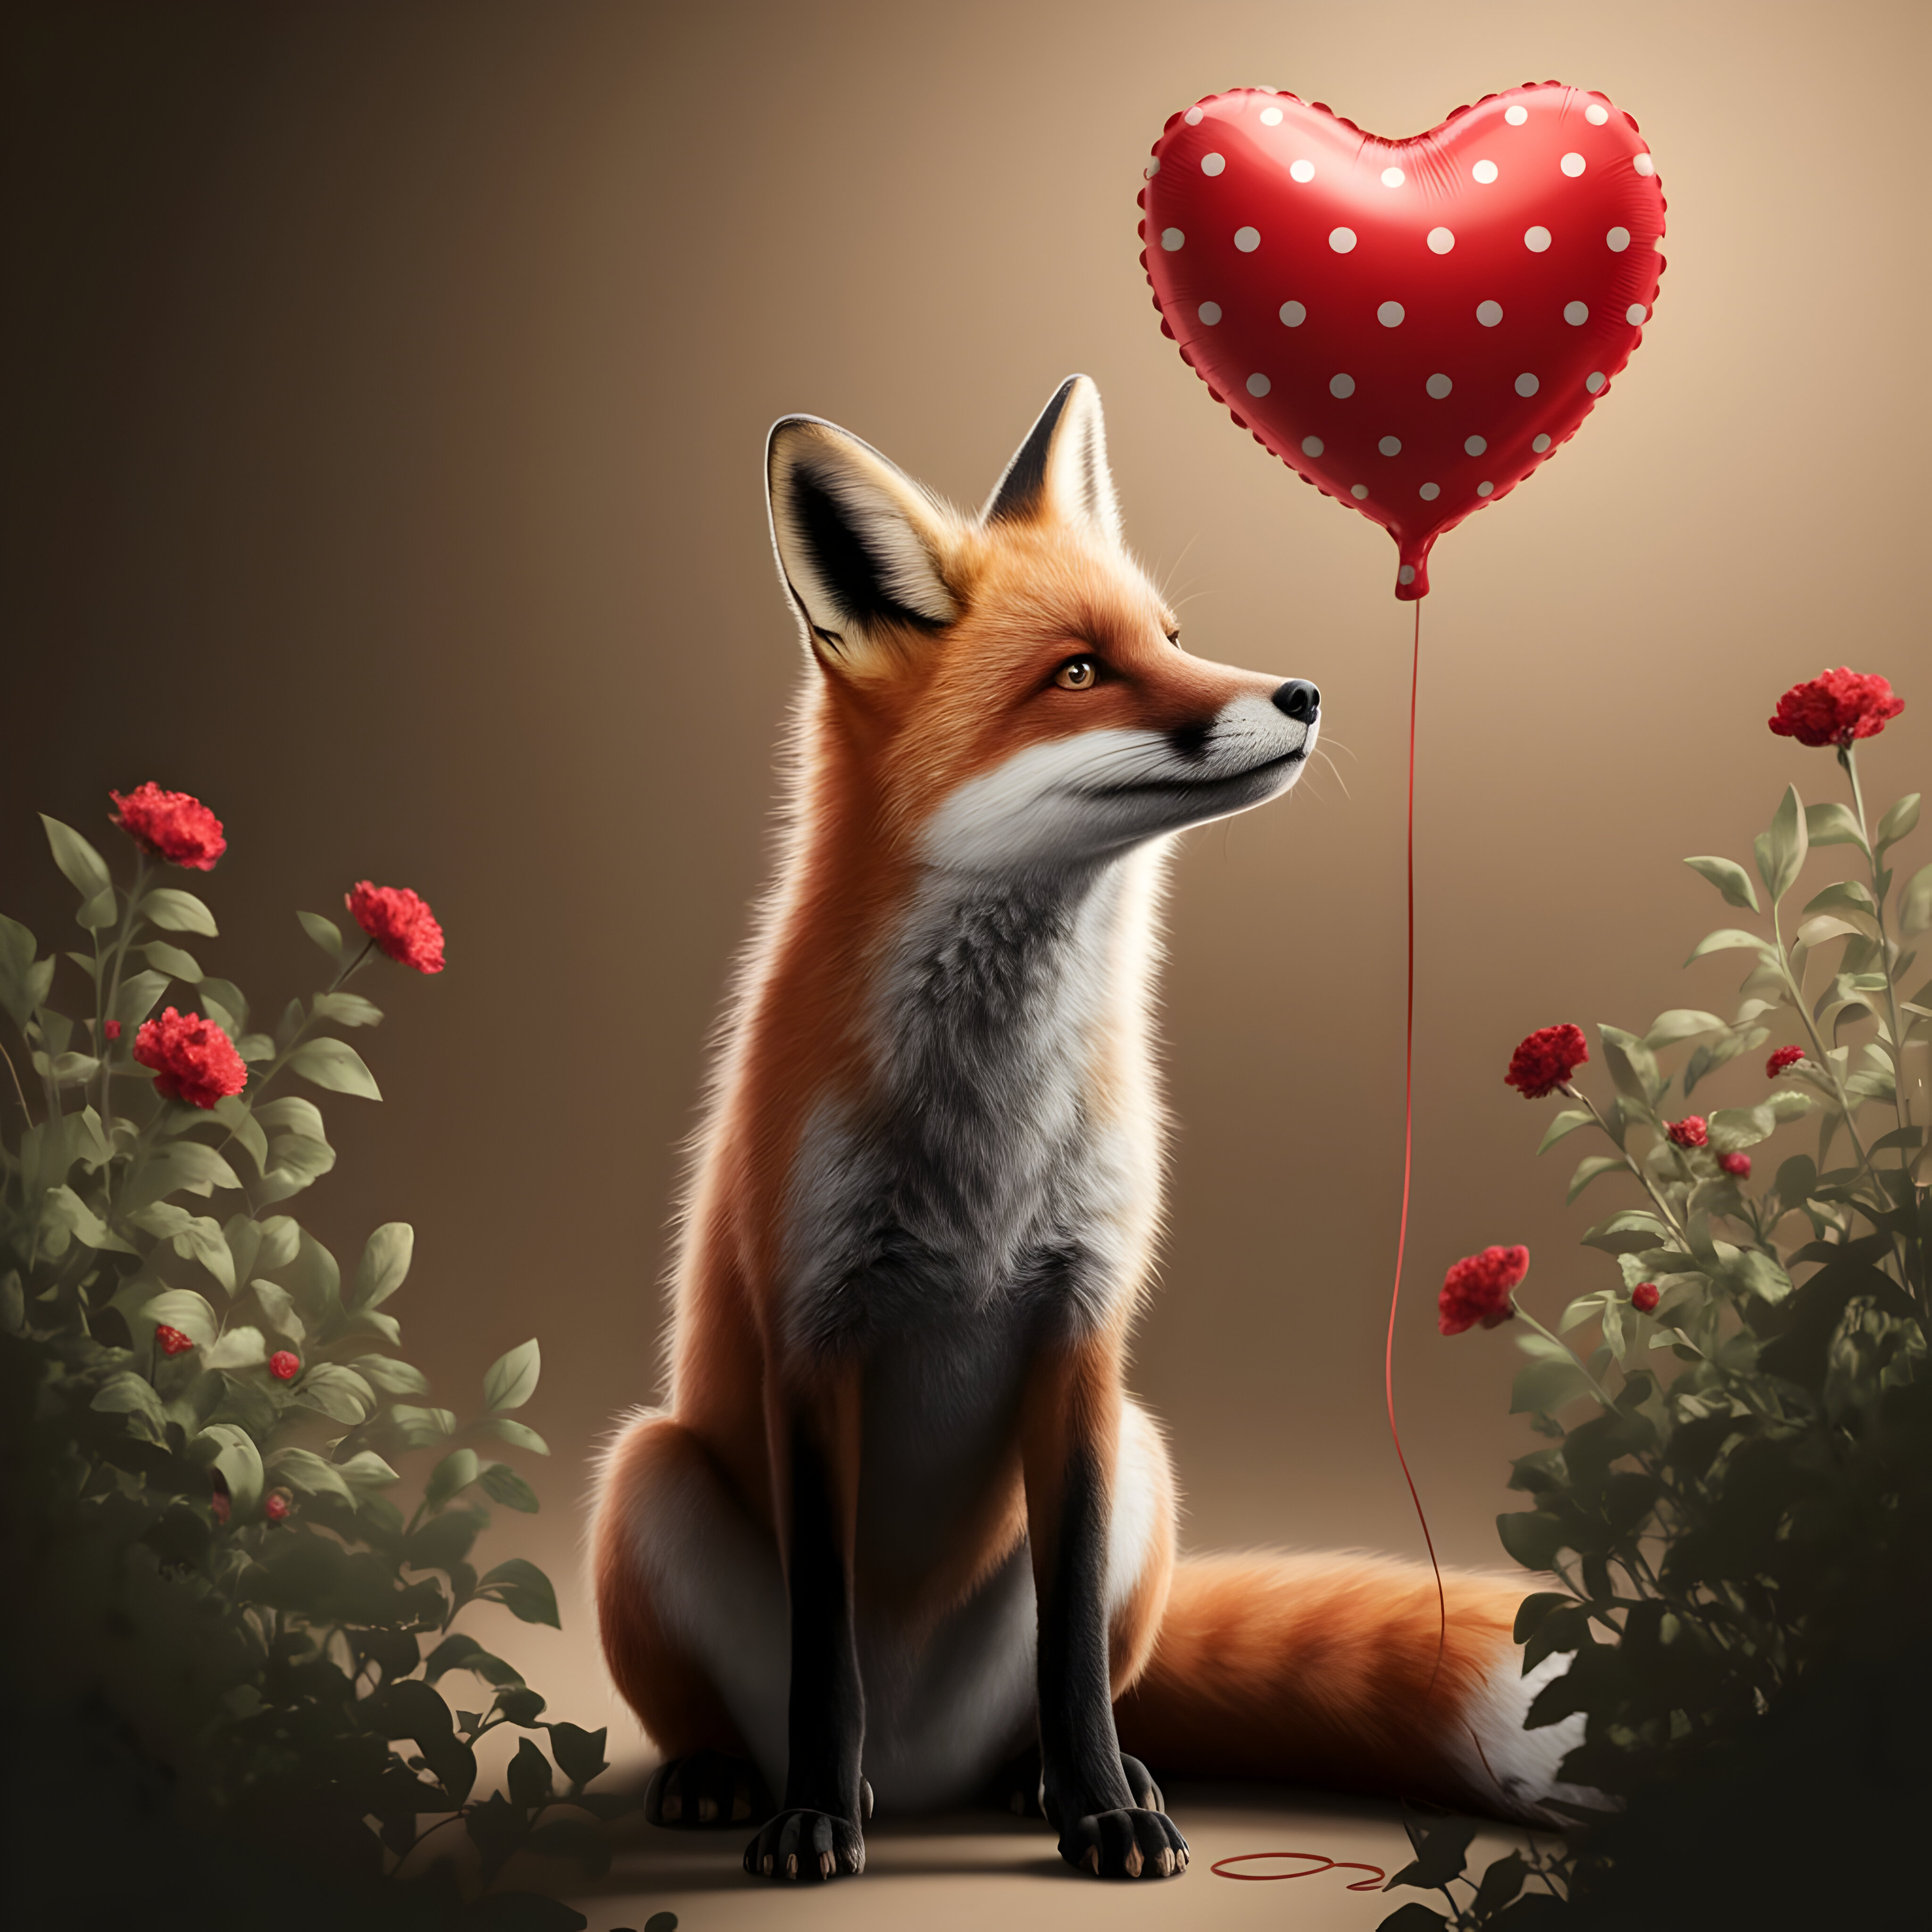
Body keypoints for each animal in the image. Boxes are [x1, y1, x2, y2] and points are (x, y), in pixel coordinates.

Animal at [589, 375, 1584, 1885]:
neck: (988, 1150)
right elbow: (825, 1648)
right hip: (645, 1475)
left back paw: (1044, 1782)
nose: (1301, 692)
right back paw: (738, 1779)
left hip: (1149, 1464)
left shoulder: (1081, 1332)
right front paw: (811, 1817)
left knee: (1073, 1693)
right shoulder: (815, 1336)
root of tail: (921, 1772)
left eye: (1170, 639)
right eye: (1077, 673)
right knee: (748, 1701)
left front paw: (1103, 1811)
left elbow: (1067, 1652)